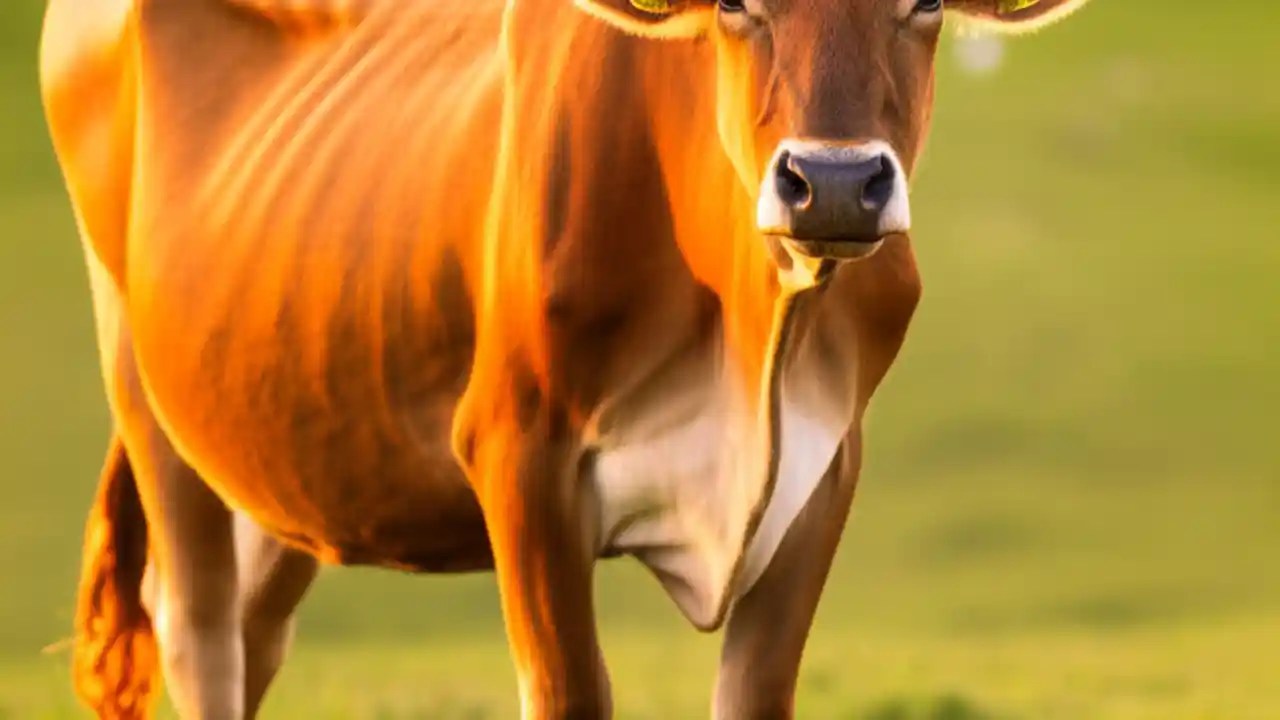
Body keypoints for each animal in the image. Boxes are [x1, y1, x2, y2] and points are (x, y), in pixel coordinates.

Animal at [39, 0, 1091, 717]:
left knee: (255, 633)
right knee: (199, 632)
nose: (833, 182)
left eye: (924, 1)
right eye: (737, 2)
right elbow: (570, 693)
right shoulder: (519, 454)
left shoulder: (822, 467)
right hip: (142, 383)